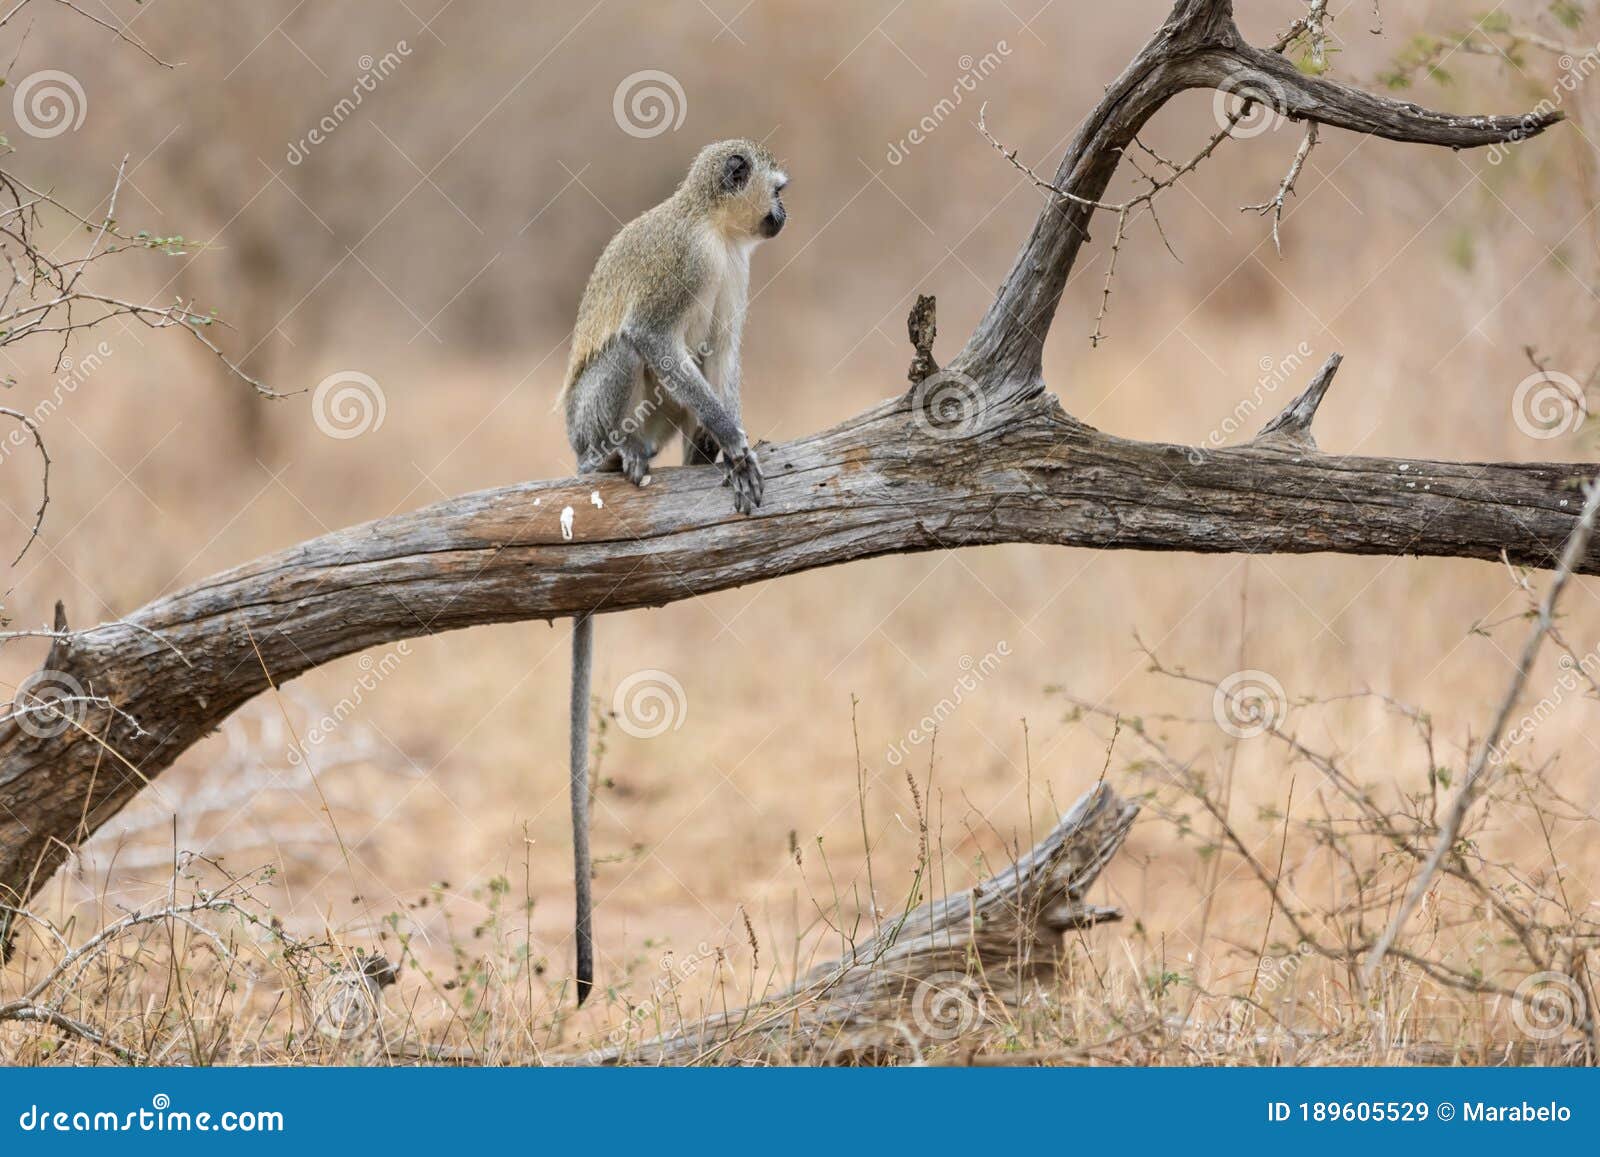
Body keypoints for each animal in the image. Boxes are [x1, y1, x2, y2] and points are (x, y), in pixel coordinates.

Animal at [559, 139, 788, 1004]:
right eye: (774, 187)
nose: (782, 213)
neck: (716, 232)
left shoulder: (736, 277)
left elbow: (719, 356)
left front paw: (728, 441)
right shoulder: (685, 264)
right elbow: (653, 337)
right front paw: (734, 440)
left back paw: (690, 453)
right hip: (589, 415)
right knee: (630, 349)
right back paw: (617, 455)